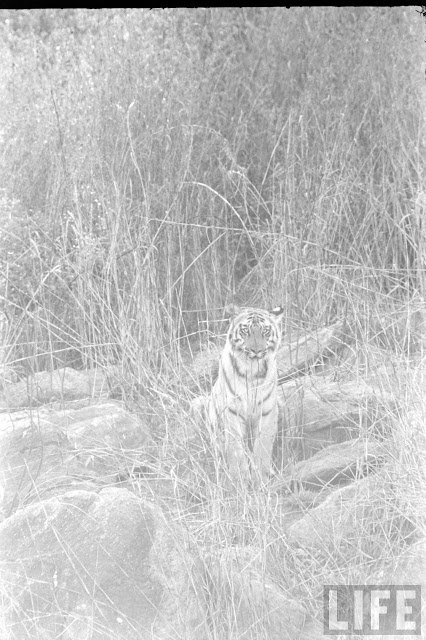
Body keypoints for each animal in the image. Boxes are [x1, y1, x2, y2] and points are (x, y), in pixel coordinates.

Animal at [207, 305, 284, 487]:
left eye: (265, 331)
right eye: (245, 331)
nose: (257, 351)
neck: (252, 370)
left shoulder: (267, 411)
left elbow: (263, 445)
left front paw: (261, 478)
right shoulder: (231, 412)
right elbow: (235, 449)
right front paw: (239, 480)